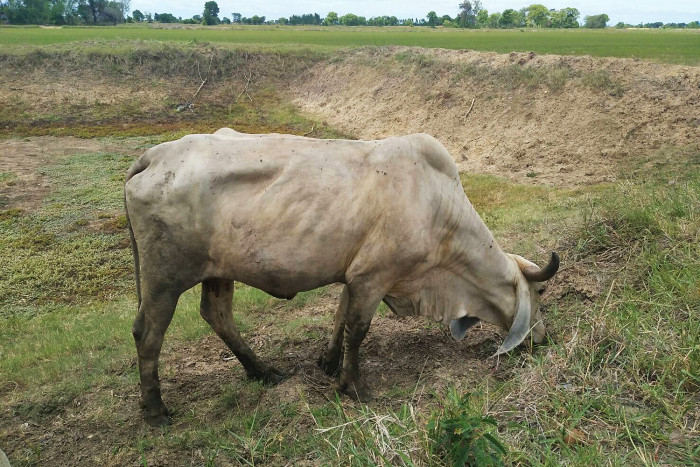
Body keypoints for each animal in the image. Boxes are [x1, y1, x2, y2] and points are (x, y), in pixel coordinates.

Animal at [124, 128, 559, 426]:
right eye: (538, 290)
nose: (541, 338)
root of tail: (156, 154)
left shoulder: (356, 275)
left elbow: (339, 318)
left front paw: (328, 364)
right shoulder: (374, 276)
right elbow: (357, 329)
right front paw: (352, 385)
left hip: (218, 272)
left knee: (217, 316)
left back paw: (262, 371)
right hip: (164, 279)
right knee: (148, 333)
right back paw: (155, 408)